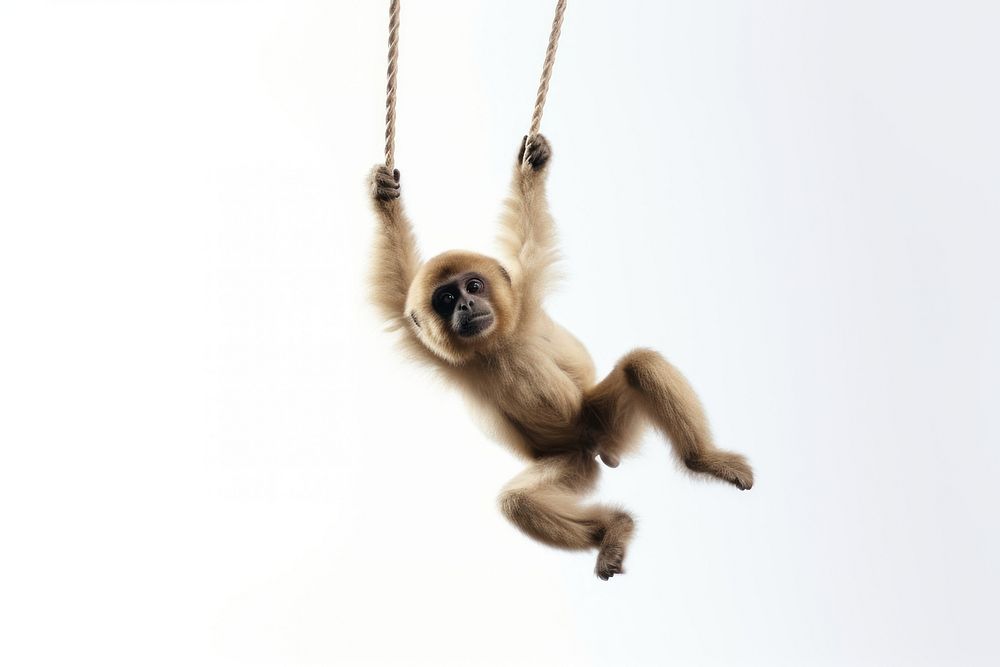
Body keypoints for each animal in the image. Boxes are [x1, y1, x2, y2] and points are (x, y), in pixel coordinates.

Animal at [368, 134, 753, 580]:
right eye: (446, 300)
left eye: (473, 286)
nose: (464, 305)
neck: (497, 345)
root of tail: (597, 446)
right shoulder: (425, 339)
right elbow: (397, 289)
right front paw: (383, 194)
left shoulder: (523, 293)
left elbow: (528, 226)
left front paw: (533, 167)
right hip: (573, 461)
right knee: (520, 502)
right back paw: (613, 530)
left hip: (603, 421)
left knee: (640, 365)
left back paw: (701, 461)